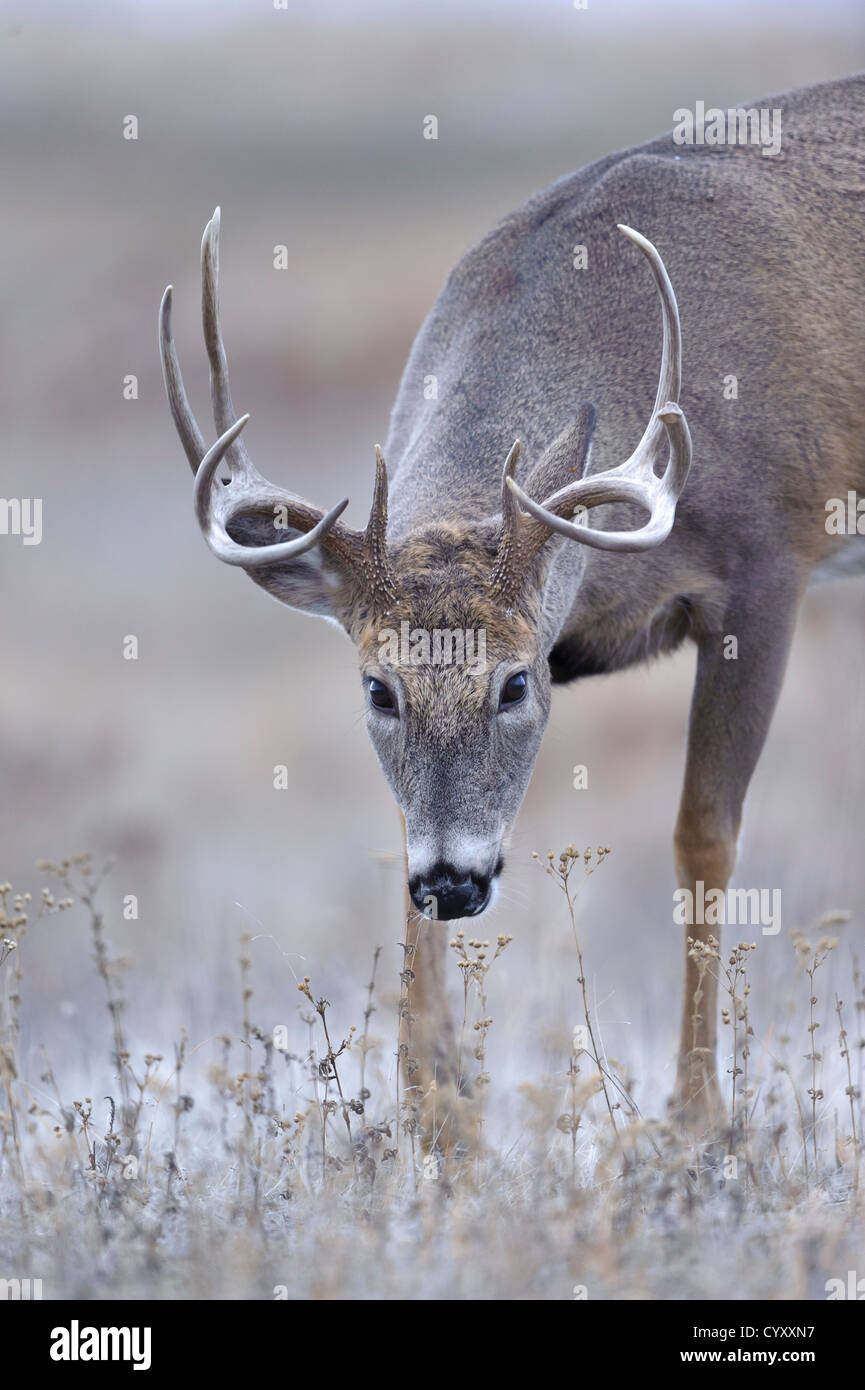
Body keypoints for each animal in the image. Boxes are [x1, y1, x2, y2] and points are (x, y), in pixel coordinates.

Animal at [159, 73, 865, 1139]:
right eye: (377, 689)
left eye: (516, 684)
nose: (455, 882)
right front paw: (433, 1110)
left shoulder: (768, 564)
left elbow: (703, 835)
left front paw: (696, 1119)